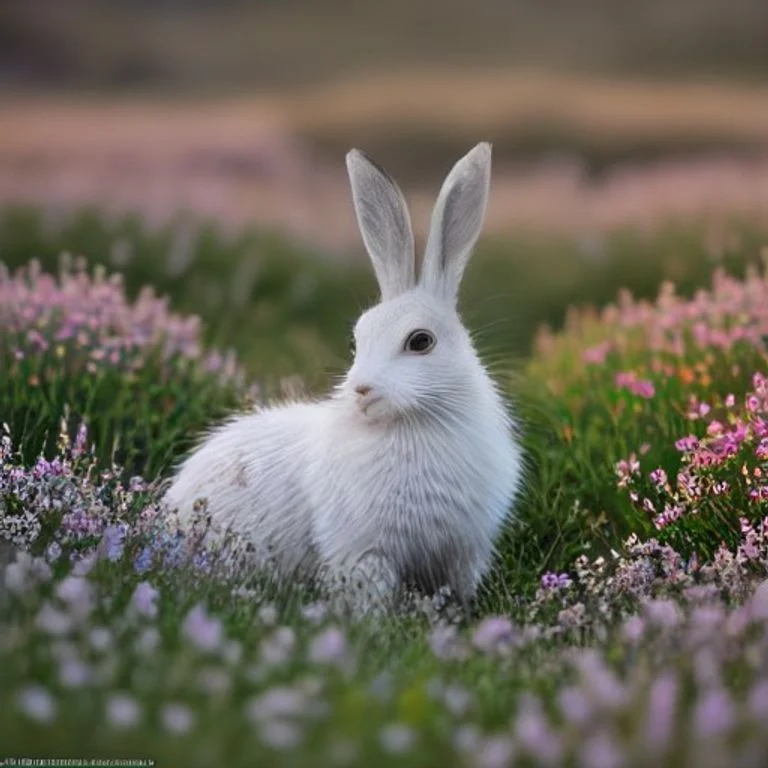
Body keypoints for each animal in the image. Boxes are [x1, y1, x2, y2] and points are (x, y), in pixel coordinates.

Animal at [164, 142, 524, 616]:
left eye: (421, 341)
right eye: (356, 340)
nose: (362, 390)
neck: (414, 421)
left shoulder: (462, 554)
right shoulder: (365, 553)